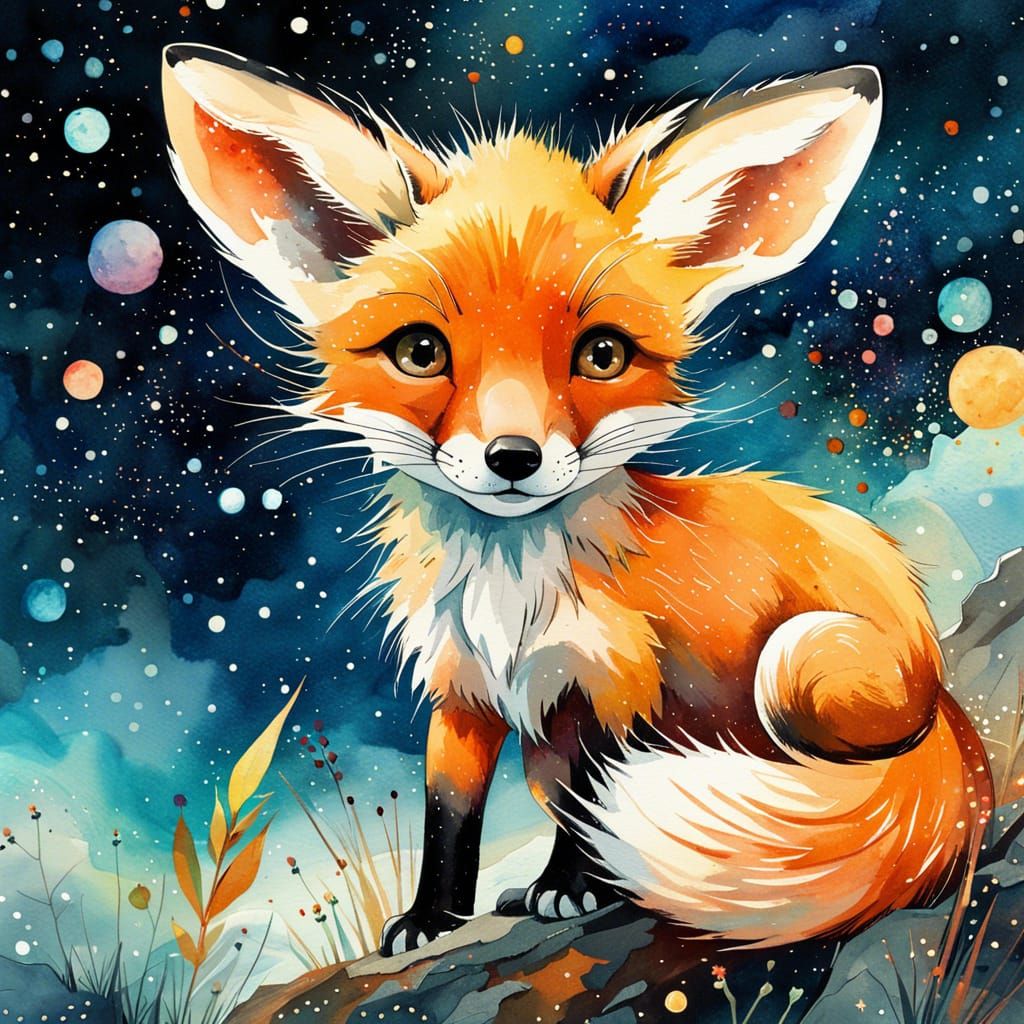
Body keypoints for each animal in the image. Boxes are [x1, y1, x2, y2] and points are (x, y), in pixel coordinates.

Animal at [162, 44, 992, 958]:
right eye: (420, 352)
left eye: (602, 355)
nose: (513, 457)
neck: (511, 599)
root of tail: (947, 708)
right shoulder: (463, 694)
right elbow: (450, 817)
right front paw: (431, 919)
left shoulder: (617, 684)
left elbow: (596, 798)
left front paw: (573, 885)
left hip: (801, 661)